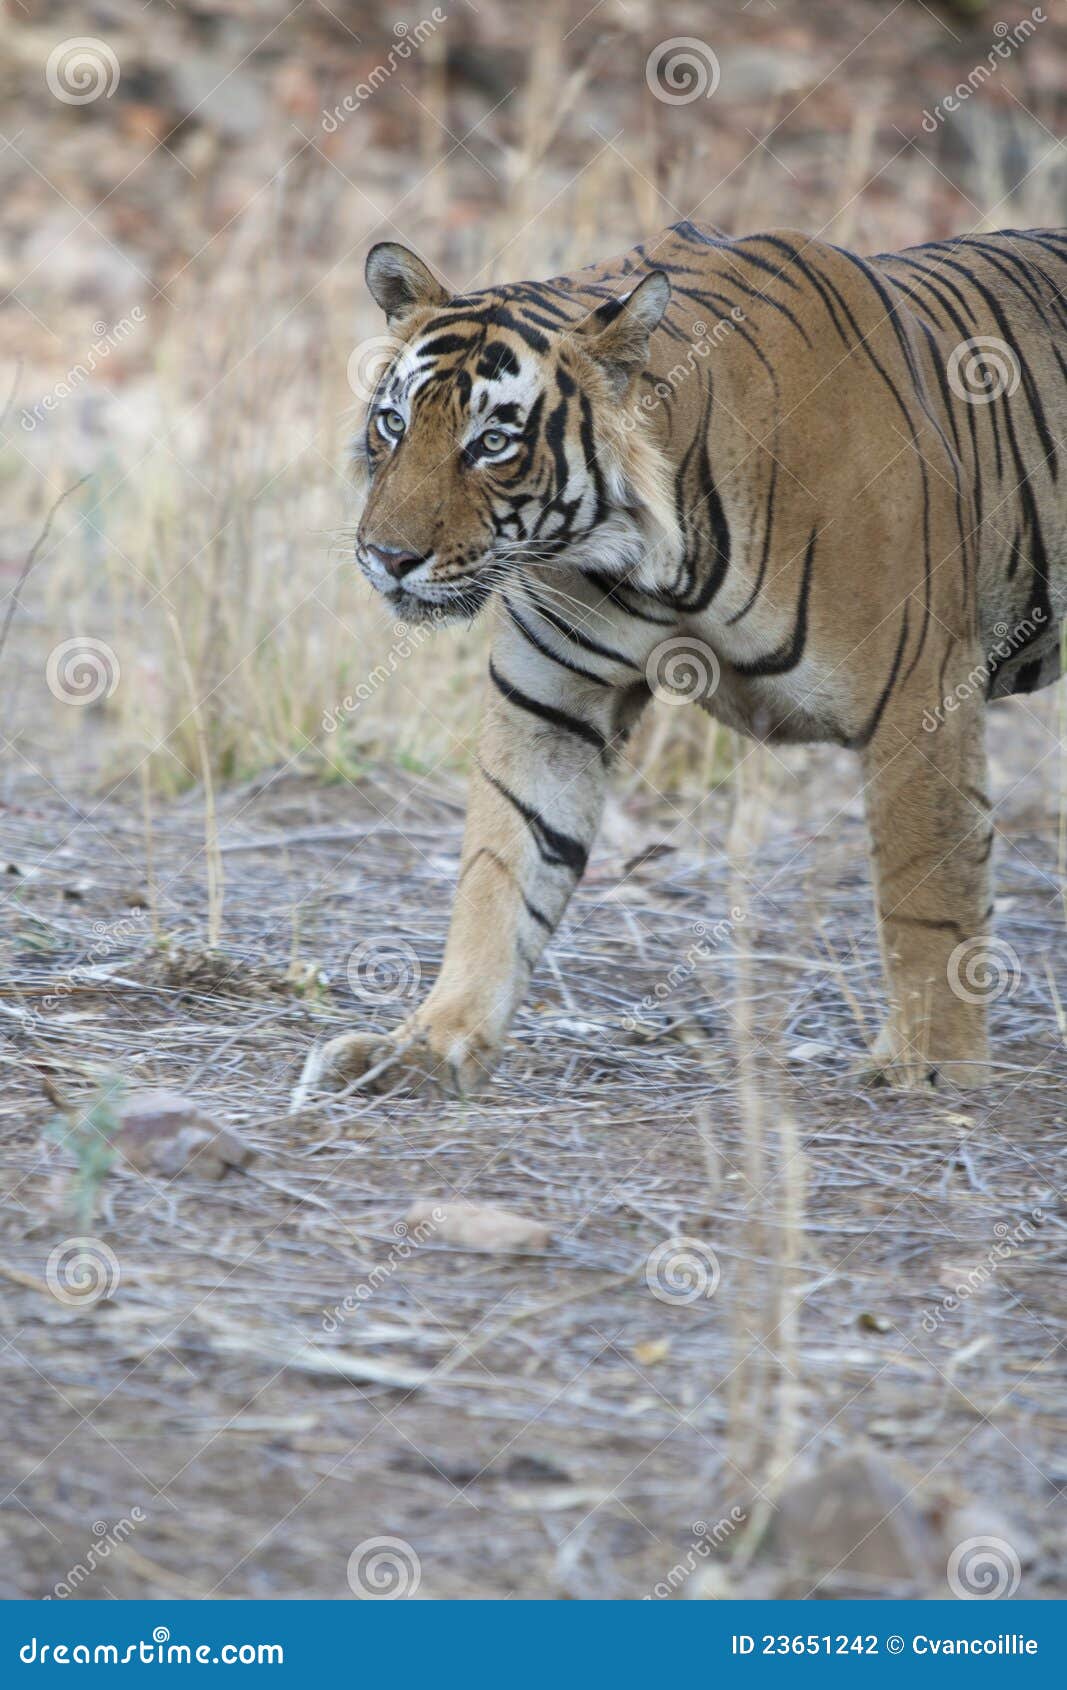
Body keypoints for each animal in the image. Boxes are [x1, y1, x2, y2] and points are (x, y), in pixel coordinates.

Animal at [310, 220, 1067, 1096]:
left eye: (491, 443)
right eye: (395, 425)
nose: (386, 557)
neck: (644, 560)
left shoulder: (918, 694)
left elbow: (927, 892)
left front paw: (931, 1067)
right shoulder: (548, 705)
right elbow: (501, 870)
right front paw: (428, 1047)